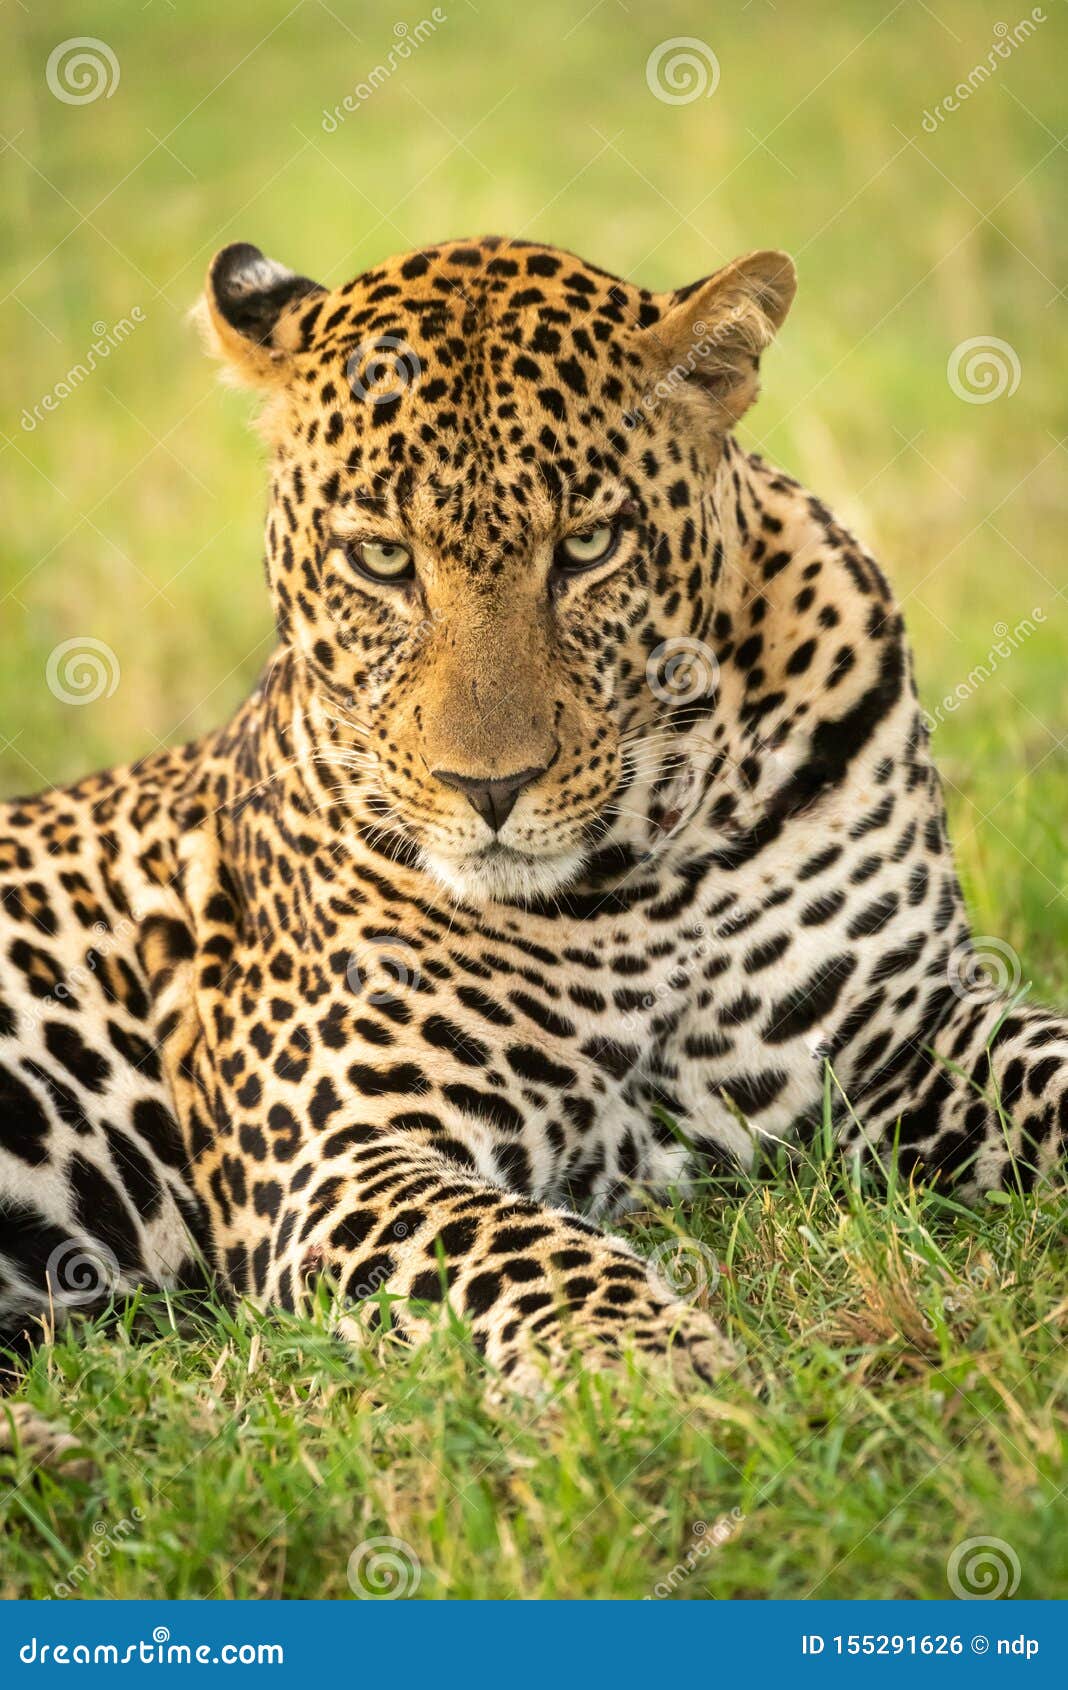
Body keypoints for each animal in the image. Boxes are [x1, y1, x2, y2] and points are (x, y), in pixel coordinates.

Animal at [1, 234, 1065, 1410]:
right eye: (381, 558)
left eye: (589, 546)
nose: (492, 787)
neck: (642, 872)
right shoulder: (339, 1148)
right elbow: (512, 1243)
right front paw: (653, 1367)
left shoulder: (897, 1032)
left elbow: (1051, 1064)